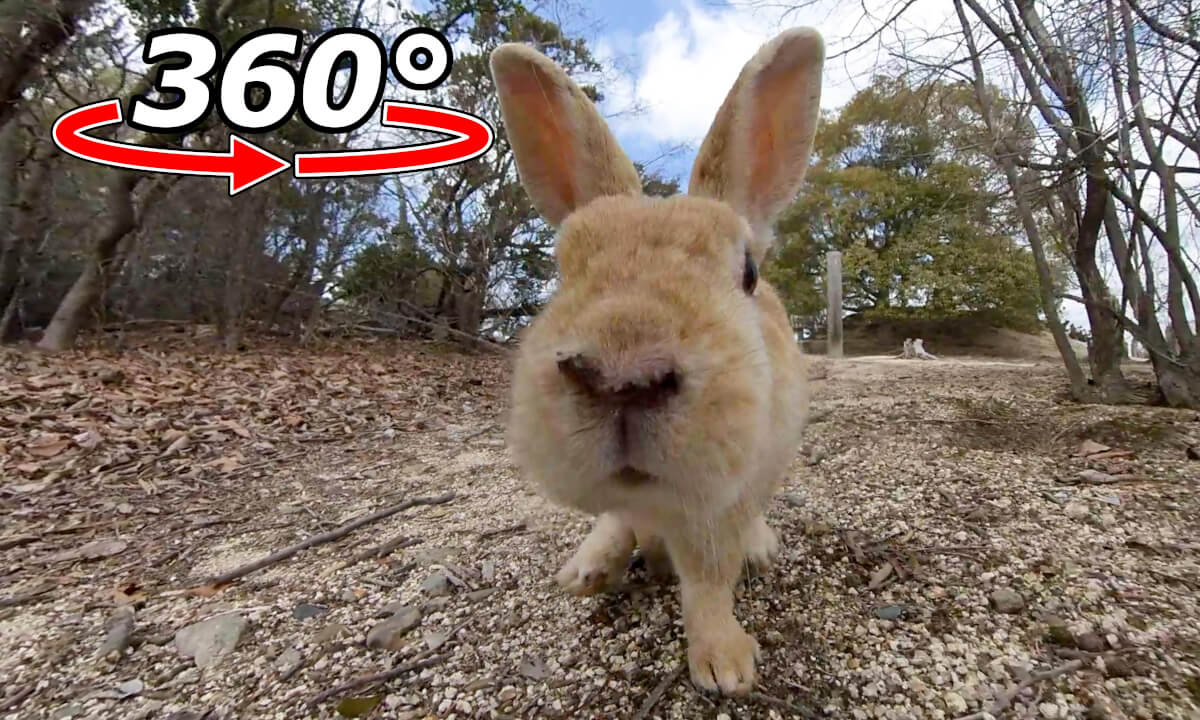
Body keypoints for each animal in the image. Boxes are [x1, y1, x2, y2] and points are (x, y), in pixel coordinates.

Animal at [492, 26, 823, 697]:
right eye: (562, 269)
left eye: (748, 272)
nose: (621, 379)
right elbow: (622, 521)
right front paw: (592, 570)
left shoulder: (717, 511)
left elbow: (708, 584)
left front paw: (726, 667)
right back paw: (589, 569)